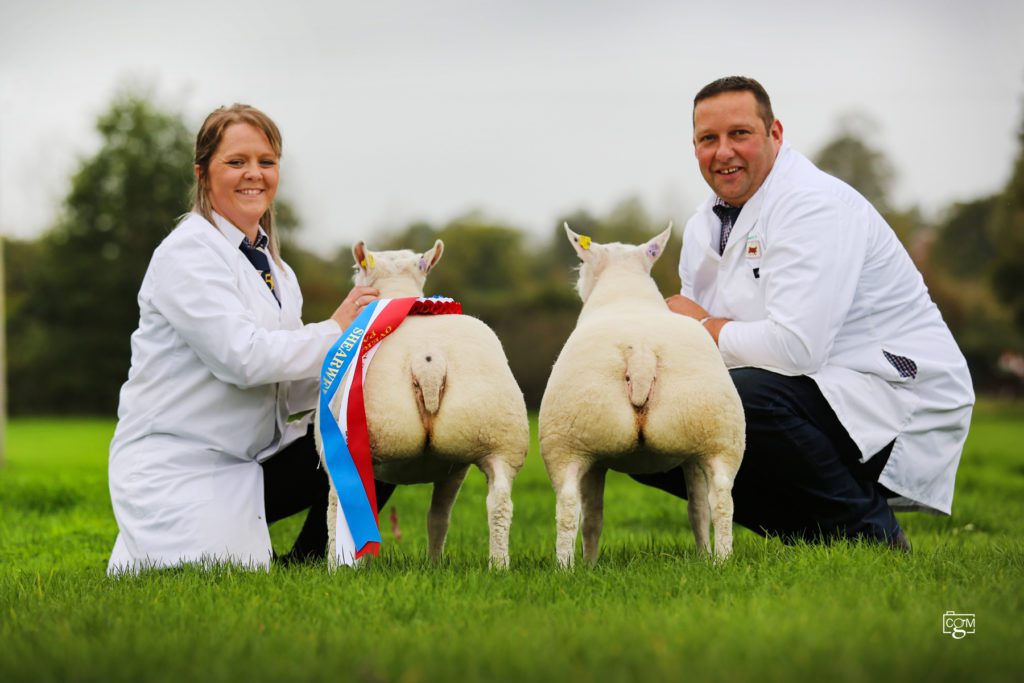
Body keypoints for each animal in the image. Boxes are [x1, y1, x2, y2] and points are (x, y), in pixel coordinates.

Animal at [315, 239, 529, 569]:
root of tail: (428, 362)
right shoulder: (453, 468)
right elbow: (438, 518)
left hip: (356, 441)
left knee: (339, 508)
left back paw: (336, 567)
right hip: (498, 437)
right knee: (497, 505)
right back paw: (496, 566)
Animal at [538, 224, 745, 567]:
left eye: (581, 262)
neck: (628, 295)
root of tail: (641, 354)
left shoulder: (595, 461)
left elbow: (592, 518)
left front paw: (589, 565)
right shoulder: (688, 457)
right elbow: (696, 510)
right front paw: (704, 555)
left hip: (567, 441)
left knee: (567, 508)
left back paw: (565, 568)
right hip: (716, 435)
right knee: (721, 501)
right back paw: (721, 561)